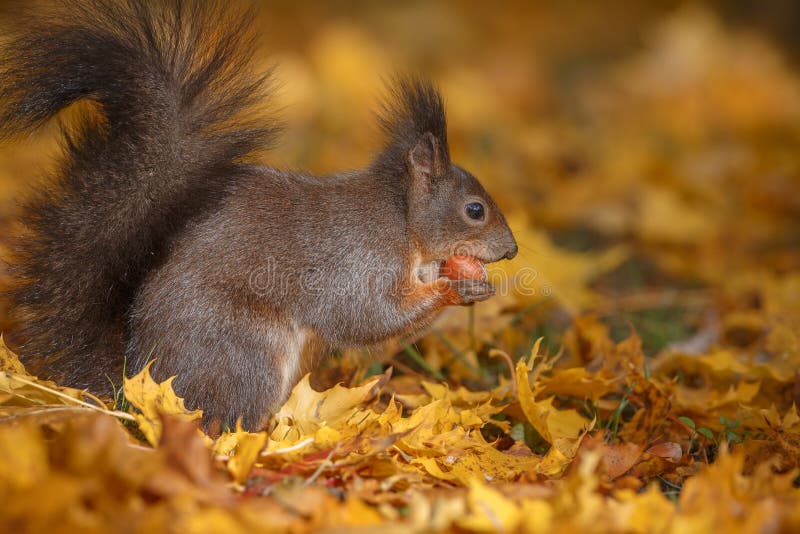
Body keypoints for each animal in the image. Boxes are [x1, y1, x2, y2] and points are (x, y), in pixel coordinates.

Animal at [0, 1, 517, 430]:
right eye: (475, 210)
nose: (512, 251)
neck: (403, 221)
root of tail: (139, 386)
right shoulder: (358, 260)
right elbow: (367, 315)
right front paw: (452, 289)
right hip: (245, 352)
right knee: (224, 420)